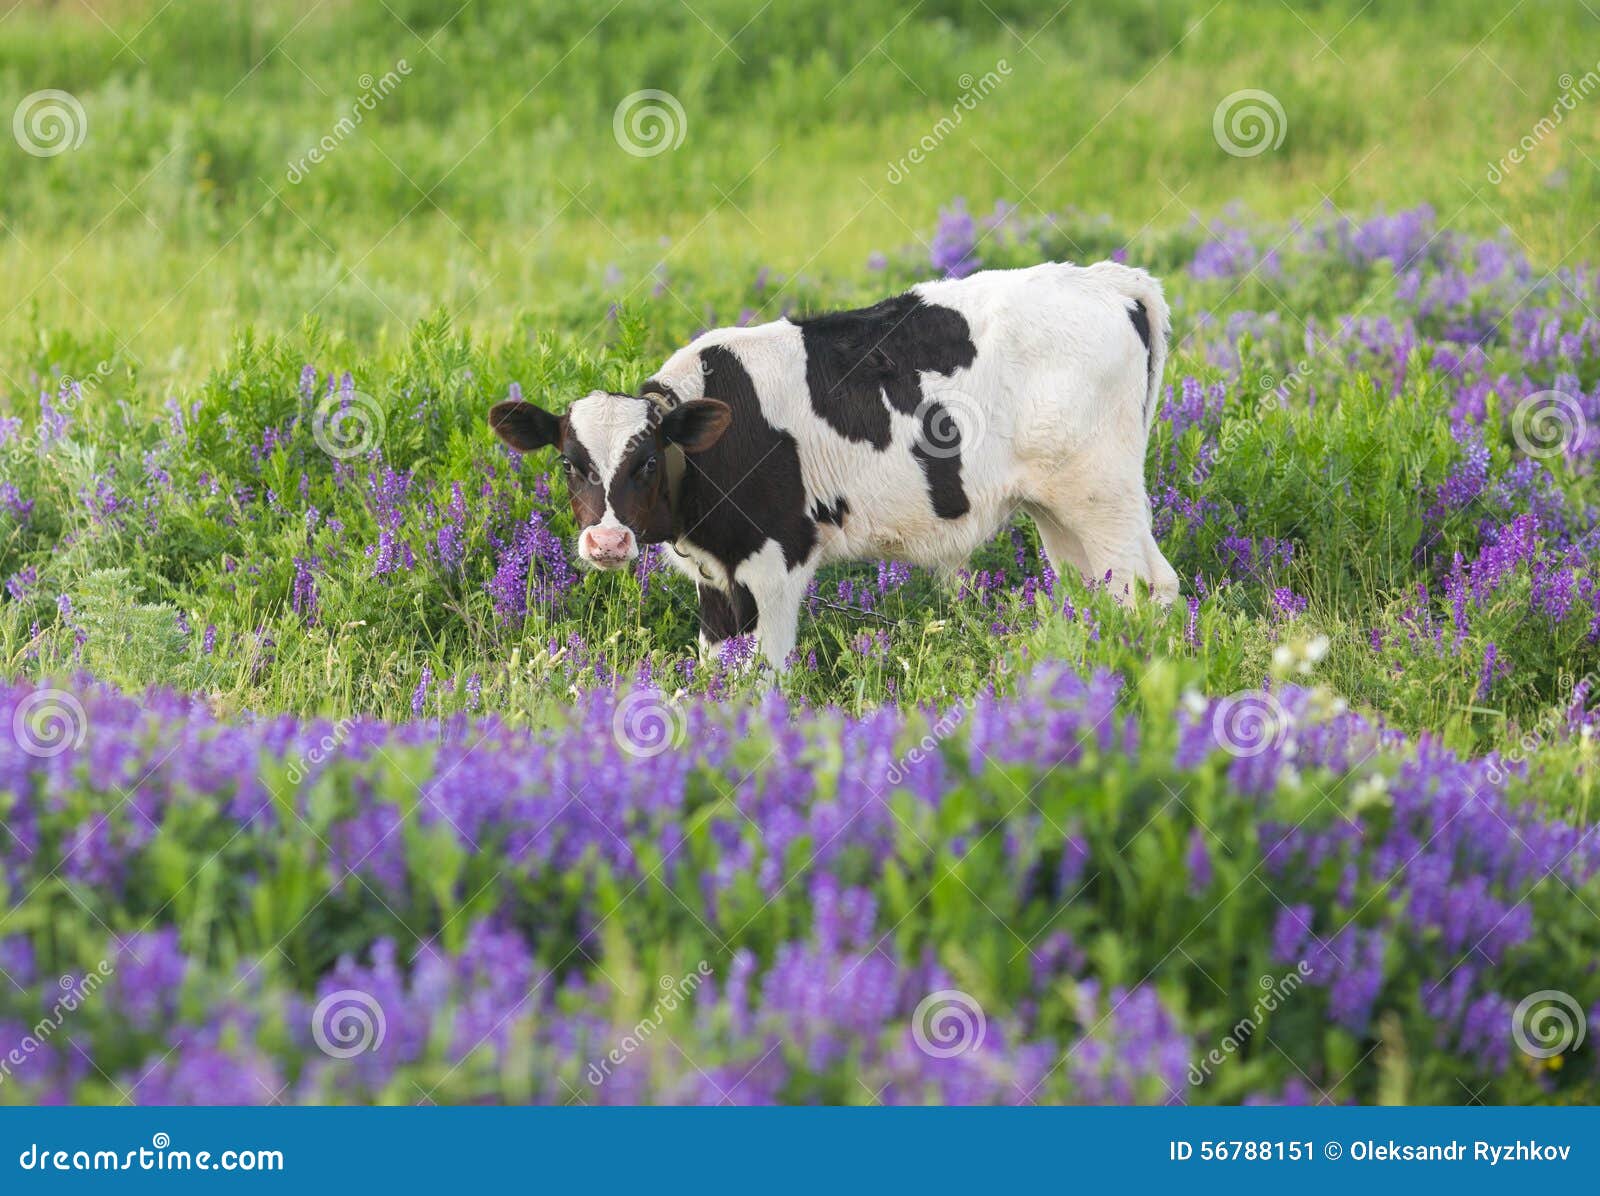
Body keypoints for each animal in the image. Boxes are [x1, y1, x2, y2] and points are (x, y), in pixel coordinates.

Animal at [488, 260, 1180, 670]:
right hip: (1060, 509)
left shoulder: (776, 560)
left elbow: (764, 673)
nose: (606, 542)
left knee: (1141, 590)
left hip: (1102, 496)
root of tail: (1108, 278)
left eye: (649, 462)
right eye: (571, 464)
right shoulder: (717, 576)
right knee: (1102, 593)